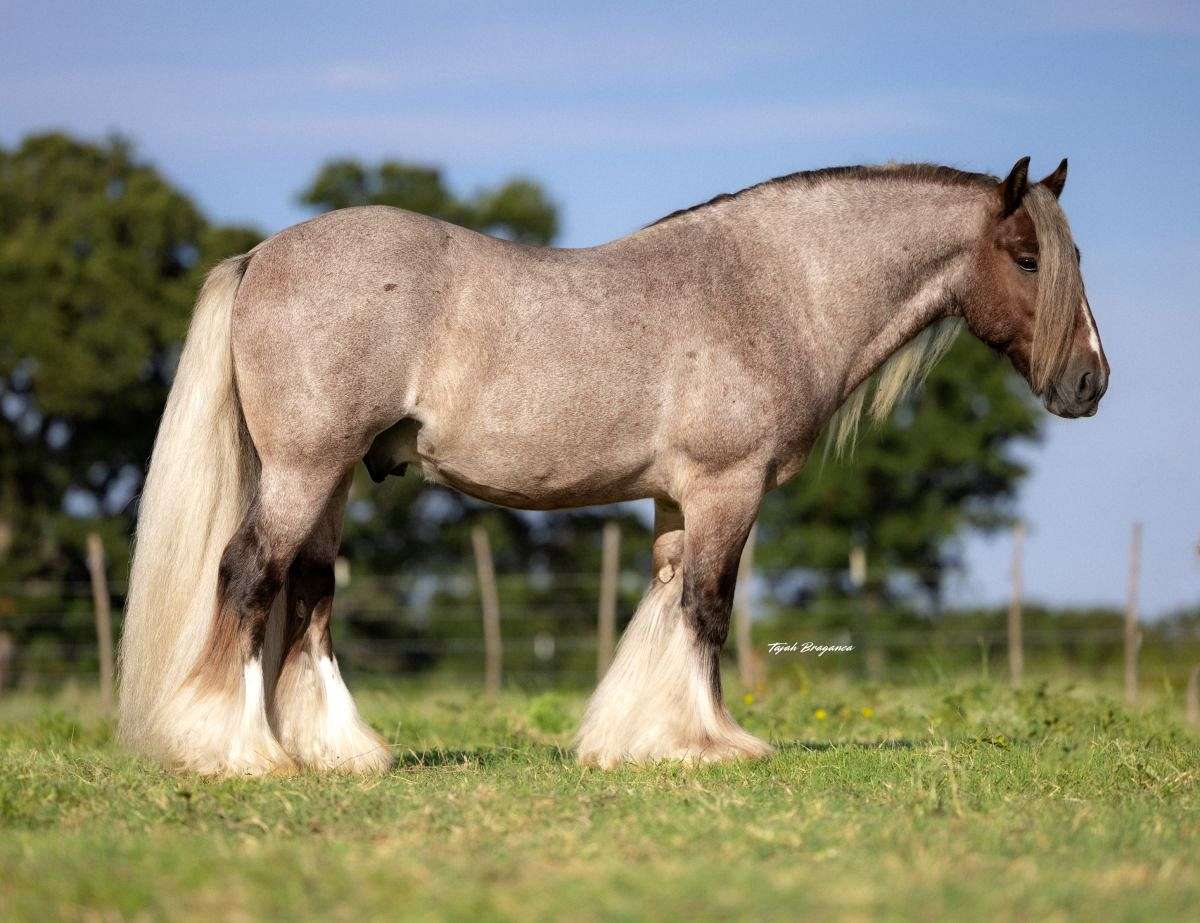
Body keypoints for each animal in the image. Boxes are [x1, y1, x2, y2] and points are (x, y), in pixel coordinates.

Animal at [116, 156, 1108, 774]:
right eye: (1028, 259)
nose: (1089, 381)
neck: (769, 288)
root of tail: (261, 255)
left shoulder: (676, 501)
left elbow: (665, 603)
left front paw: (639, 738)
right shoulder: (726, 489)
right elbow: (708, 608)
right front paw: (714, 743)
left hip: (326, 483)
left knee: (310, 589)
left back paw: (337, 752)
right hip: (303, 470)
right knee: (250, 573)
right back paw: (239, 751)